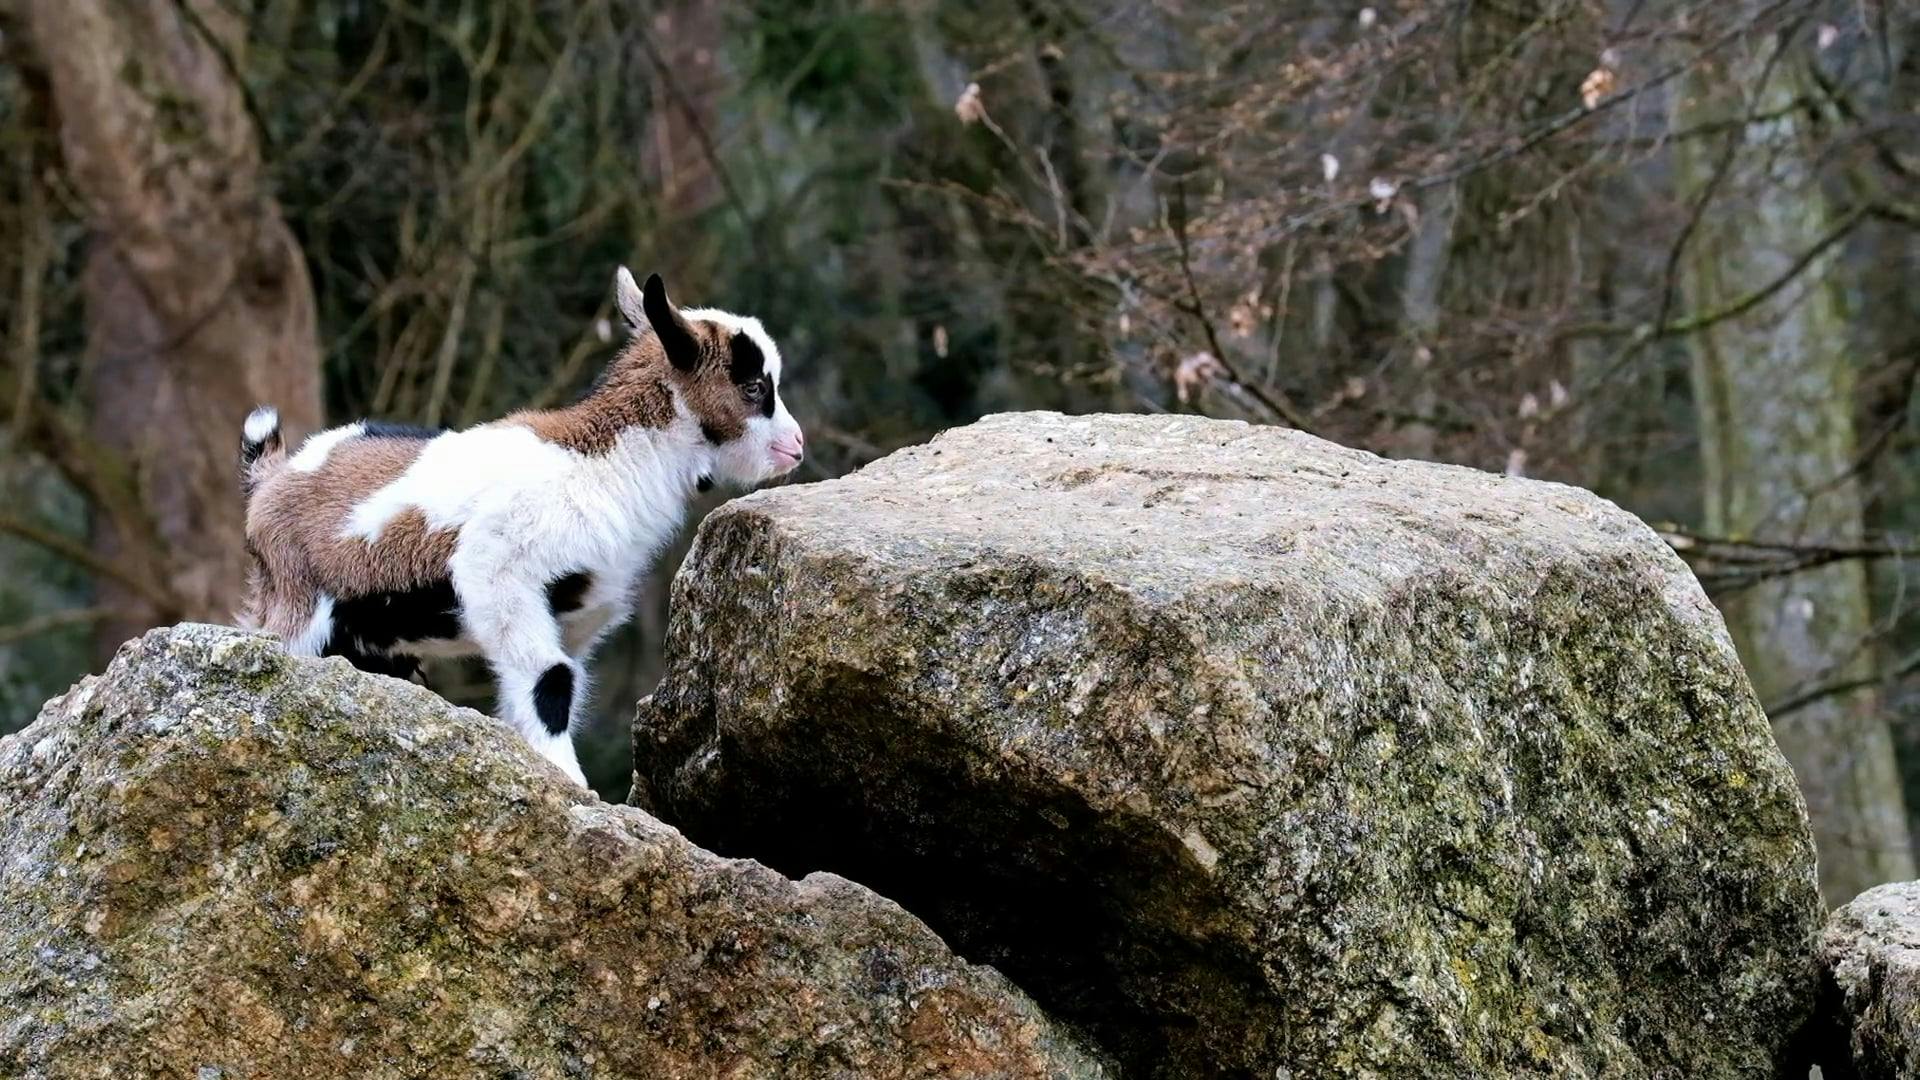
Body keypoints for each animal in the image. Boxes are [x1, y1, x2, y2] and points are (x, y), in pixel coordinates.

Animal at [237, 269, 805, 787]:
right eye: (753, 387)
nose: (796, 446)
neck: (601, 463)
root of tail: (272, 477)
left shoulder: (575, 614)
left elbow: (540, 690)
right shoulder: (498, 575)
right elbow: (550, 681)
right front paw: (570, 784)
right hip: (298, 609)